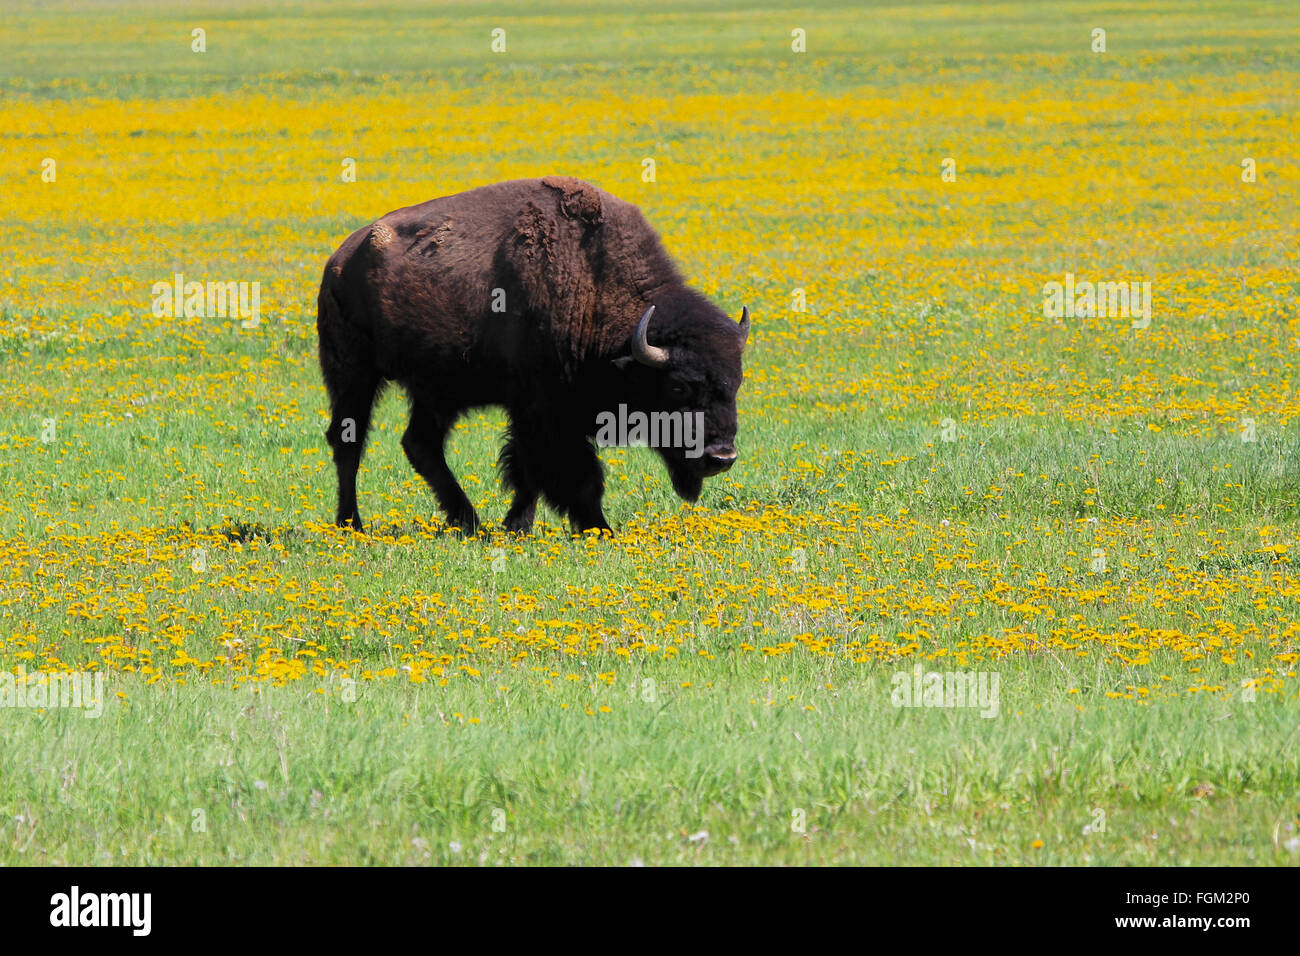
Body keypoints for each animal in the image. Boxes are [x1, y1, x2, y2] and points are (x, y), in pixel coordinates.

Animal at [317, 176, 749, 534]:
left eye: (735, 385)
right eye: (678, 387)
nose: (722, 456)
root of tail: (339, 260)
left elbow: (529, 472)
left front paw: (517, 525)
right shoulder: (543, 412)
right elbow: (572, 474)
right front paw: (598, 528)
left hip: (435, 391)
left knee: (420, 444)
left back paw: (469, 521)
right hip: (354, 375)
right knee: (348, 442)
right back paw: (351, 524)